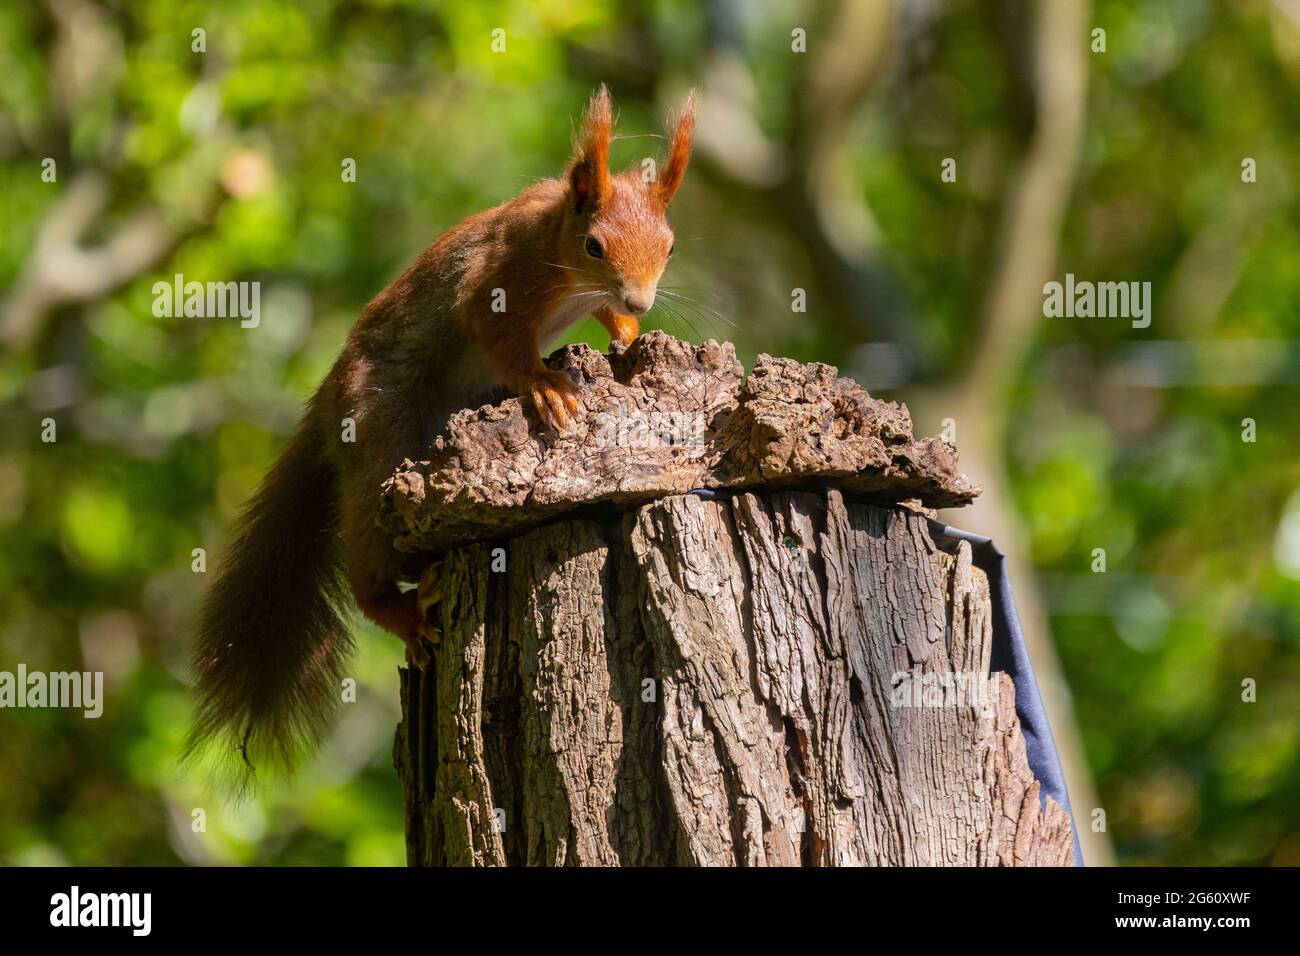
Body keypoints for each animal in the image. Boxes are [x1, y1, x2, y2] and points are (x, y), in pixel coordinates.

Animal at [185, 85, 696, 782]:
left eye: (669, 246)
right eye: (594, 245)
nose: (640, 299)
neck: (553, 239)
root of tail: (326, 406)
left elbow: (604, 320)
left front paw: (627, 333)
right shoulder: (498, 283)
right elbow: (495, 334)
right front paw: (547, 385)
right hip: (382, 429)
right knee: (368, 554)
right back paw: (401, 610)